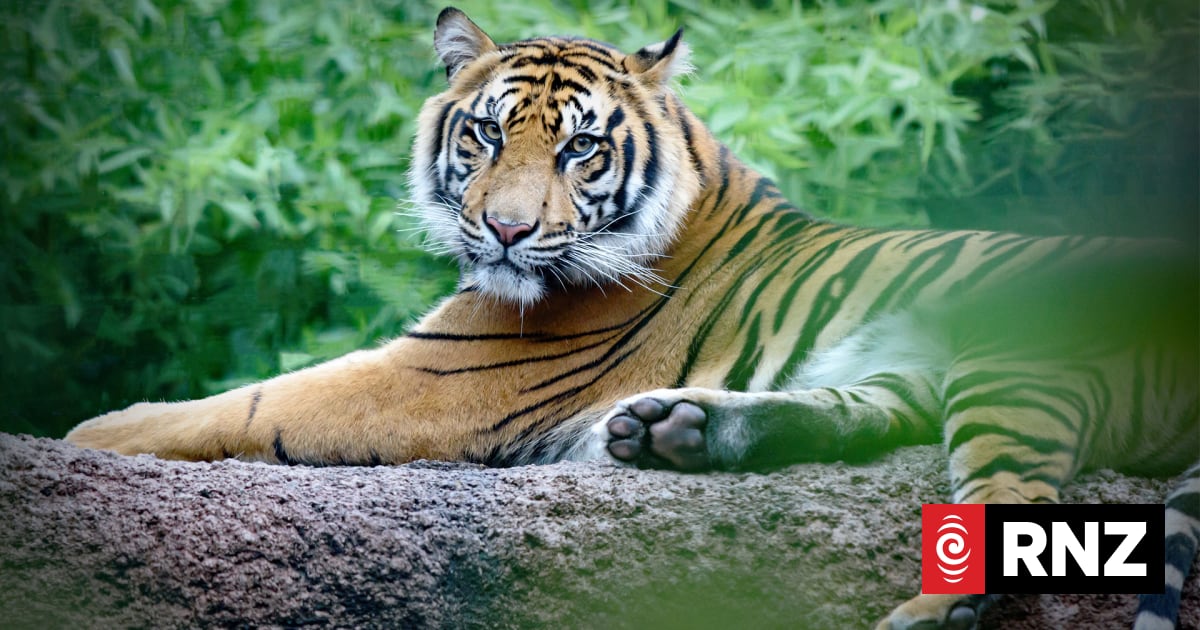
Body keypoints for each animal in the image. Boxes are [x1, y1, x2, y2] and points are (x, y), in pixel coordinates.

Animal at [64, 7, 1198, 629]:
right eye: (484, 136)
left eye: (579, 149)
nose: (508, 231)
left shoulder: (436, 373)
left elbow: (250, 402)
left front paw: (91, 431)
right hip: (923, 370)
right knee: (863, 415)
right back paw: (673, 430)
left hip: (1016, 368)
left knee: (1015, 502)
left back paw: (927, 613)